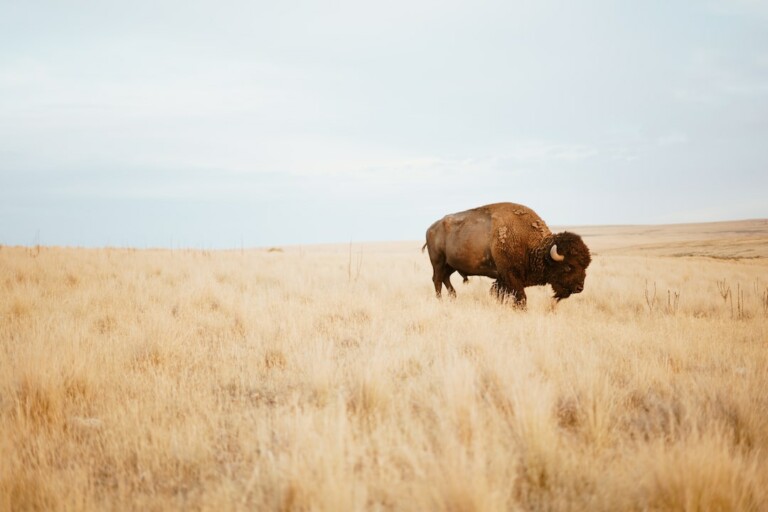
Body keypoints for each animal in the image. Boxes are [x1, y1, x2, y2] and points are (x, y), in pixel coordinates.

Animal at [422, 202, 591, 306]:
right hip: (438, 262)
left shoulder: (503, 279)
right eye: (568, 266)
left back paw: (453, 297)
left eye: (585, 266)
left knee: (445, 279)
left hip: (450, 265)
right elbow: (521, 297)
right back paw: (440, 300)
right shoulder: (510, 276)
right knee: (437, 280)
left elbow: (500, 294)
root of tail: (431, 228)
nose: (579, 288)